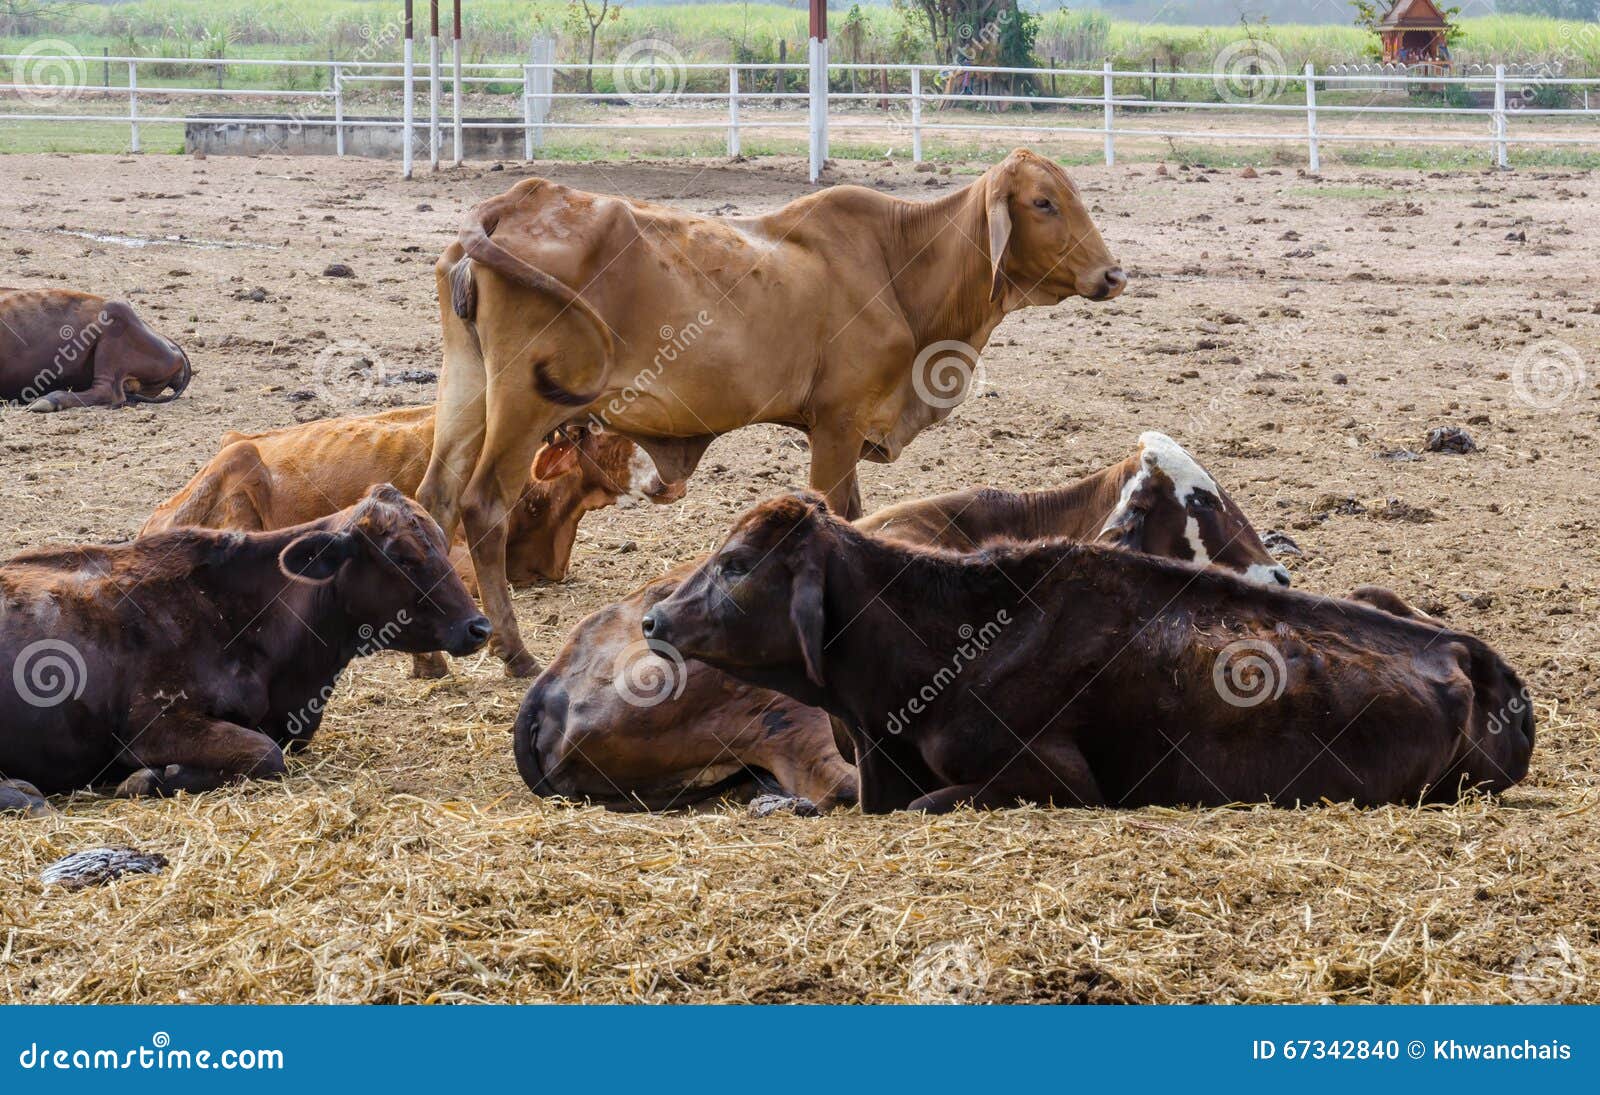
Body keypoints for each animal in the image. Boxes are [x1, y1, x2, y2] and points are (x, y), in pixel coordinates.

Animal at [0, 485, 490, 802]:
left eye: (443, 542)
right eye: (402, 557)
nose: (478, 627)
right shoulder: (150, 721)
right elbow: (264, 753)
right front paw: (149, 778)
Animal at [416, 147, 1126, 676]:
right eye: (1043, 202)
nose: (1114, 275)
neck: (899, 264)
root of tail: (517, 199)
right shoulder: (837, 427)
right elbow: (838, 514)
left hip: (467, 390)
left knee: (434, 497)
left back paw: (430, 658)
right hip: (523, 405)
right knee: (482, 507)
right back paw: (513, 652)